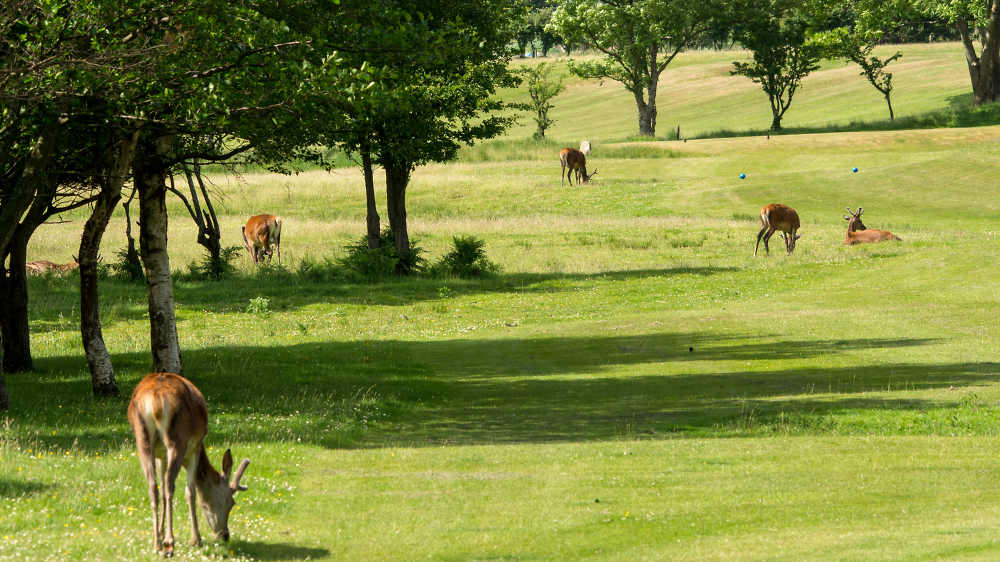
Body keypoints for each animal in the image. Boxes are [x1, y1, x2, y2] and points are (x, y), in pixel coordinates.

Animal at [128, 372, 250, 556]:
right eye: (230, 502)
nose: (225, 535)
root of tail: (156, 400)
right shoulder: (194, 451)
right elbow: (190, 492)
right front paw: (196, 539)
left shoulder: (160, 456)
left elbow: (162, 491)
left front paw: (160, 532)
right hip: (178, 439)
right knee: (170, 484)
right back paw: (169, 543)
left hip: (142, 440)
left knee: (153, 486)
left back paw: (157, 544)